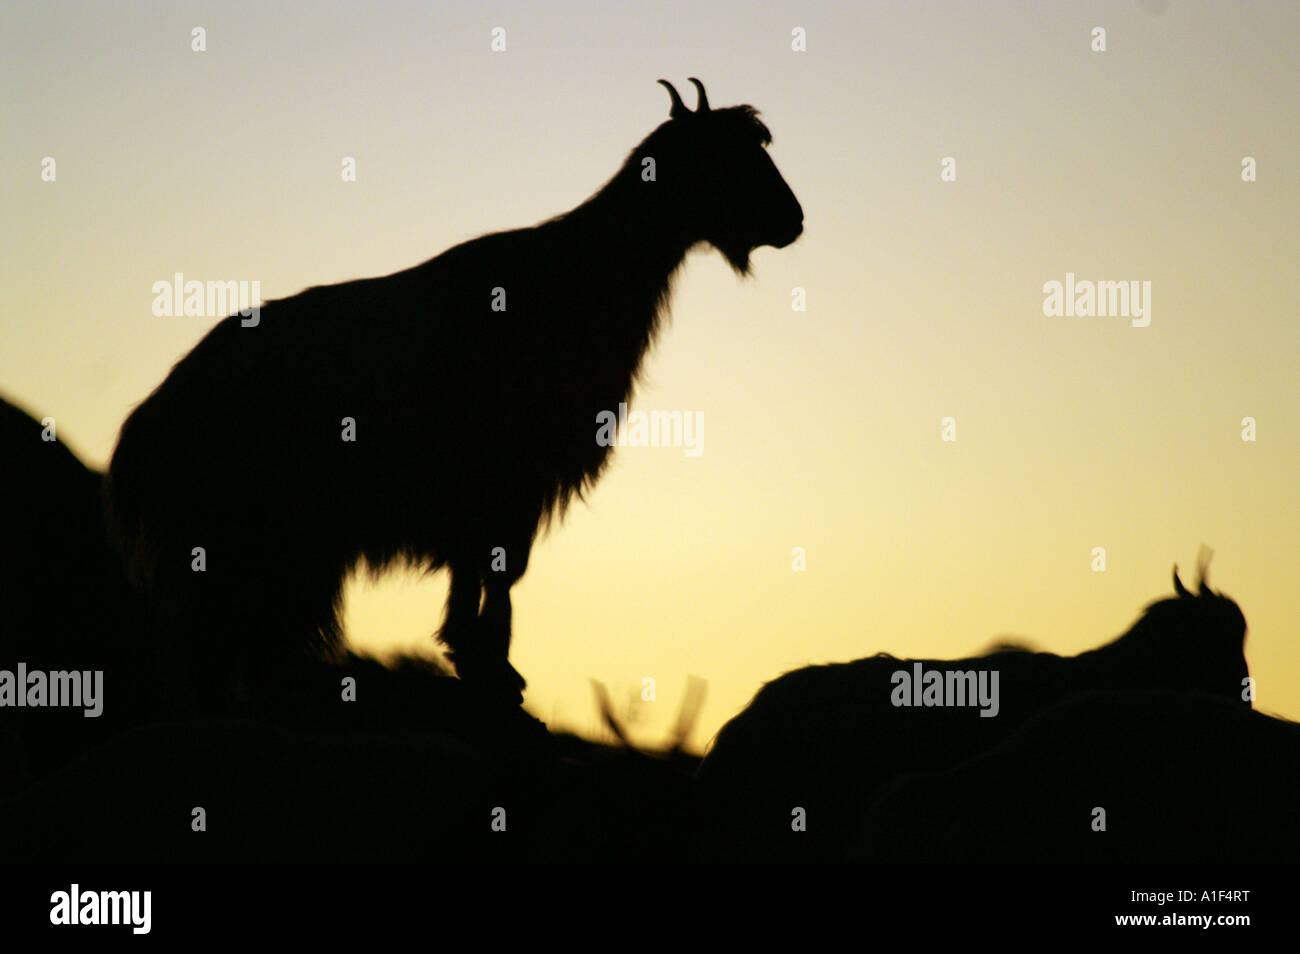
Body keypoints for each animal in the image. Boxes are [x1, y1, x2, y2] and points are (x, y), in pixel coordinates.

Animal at [103, 79, 803, 709]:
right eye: (729, 154)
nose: (793, 220)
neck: (573, 278)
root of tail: (150, 420)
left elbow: (492, 571)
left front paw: (486, 661)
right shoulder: (503, 484)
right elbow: (496, 571)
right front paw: (489, 664)